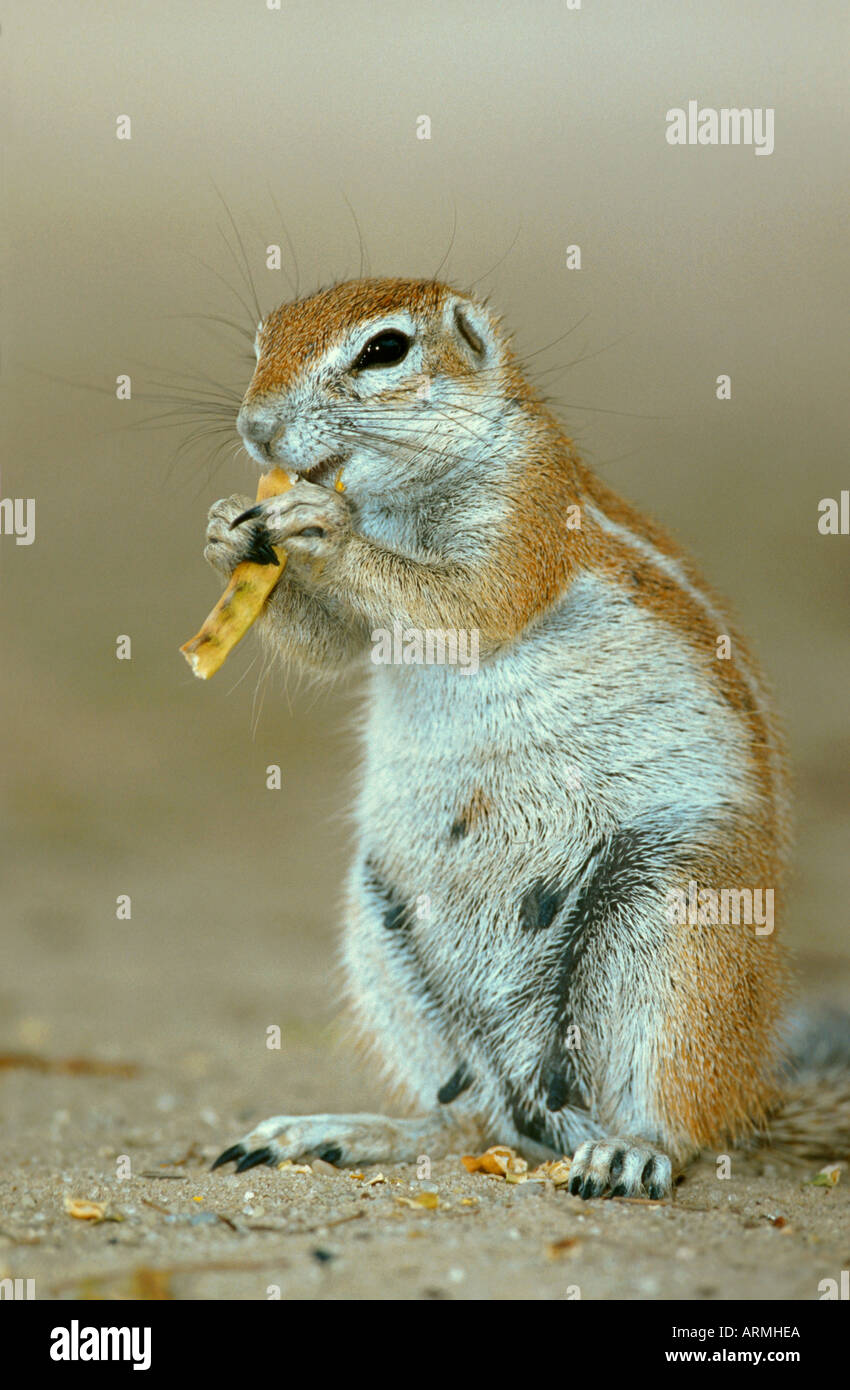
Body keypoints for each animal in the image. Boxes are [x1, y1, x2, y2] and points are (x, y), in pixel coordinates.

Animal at [206, 277, 850, 1199]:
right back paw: (345, 1132)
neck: (398, 496)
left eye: (384, 350)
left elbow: (467, 603)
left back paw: (633, 1150)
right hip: (384, 939)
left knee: (679, 1119)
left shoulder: (527, 516)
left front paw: (319, 521)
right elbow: (327, 645)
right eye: (262, 341)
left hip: (675, 918)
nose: (255, 429)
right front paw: (228, 528)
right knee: (466, 1118)